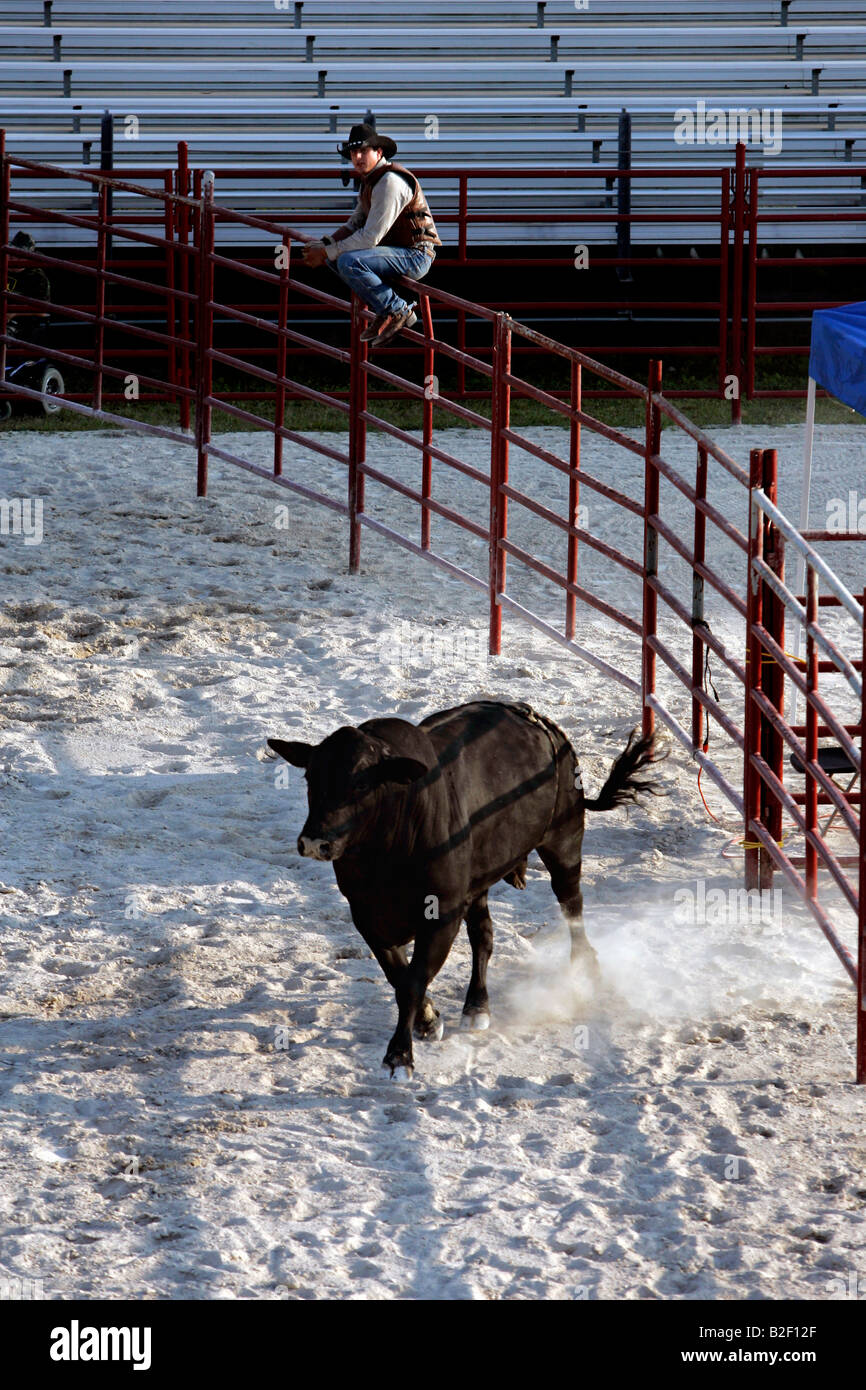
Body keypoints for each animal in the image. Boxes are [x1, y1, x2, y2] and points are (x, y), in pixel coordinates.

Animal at [268, 700, 661, 1078]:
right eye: (310, 776)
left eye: (361, 784)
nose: (315, 841)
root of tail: (543, 723)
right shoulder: (365, 914)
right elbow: (398, 975)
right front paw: (428, 1020)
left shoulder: (442, 913)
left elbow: (411, 983)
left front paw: (399, 1056)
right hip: (480, 884)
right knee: (484, 935)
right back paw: (477, 1005)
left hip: (563, 843)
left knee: (571, 904)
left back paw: (584, 968)